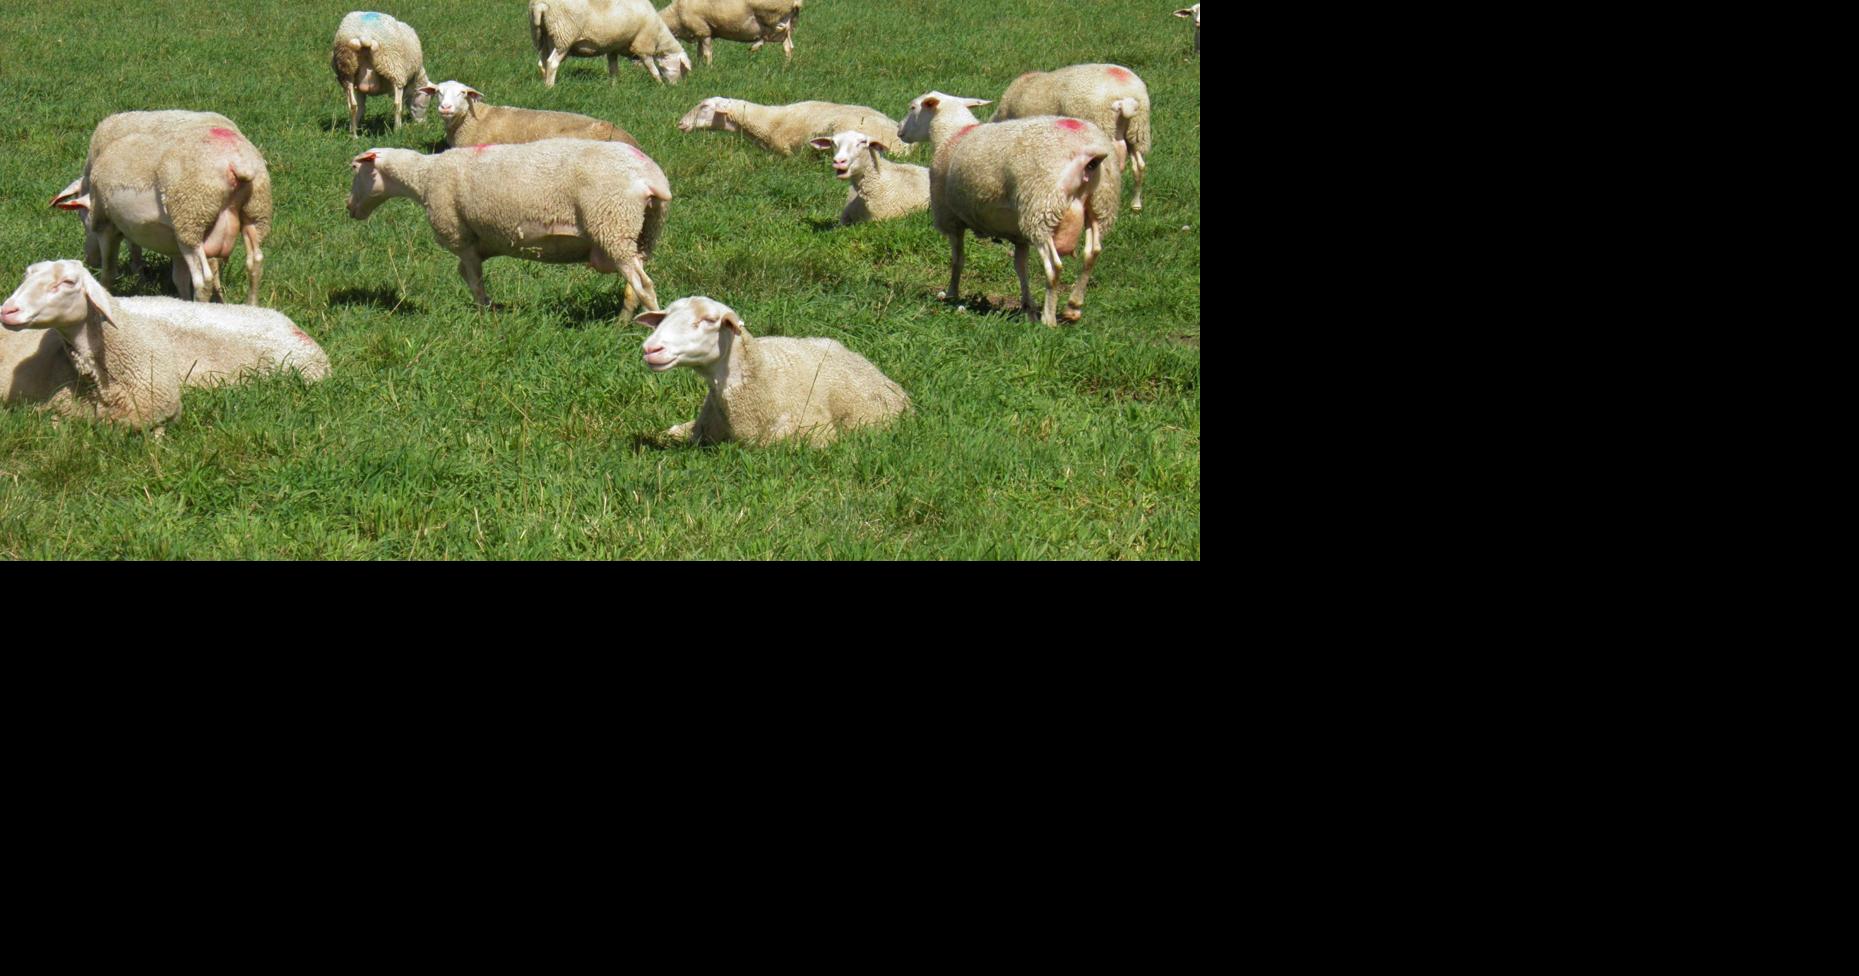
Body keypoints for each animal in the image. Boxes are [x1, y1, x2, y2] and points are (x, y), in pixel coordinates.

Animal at [82, 111, 273, 304]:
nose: (89, 261)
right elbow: (179, 279)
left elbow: (108, 273)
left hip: (191, 218)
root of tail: (237, 161)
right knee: (255, 263)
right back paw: (251, 305)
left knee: (204, 280)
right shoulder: (175, 247)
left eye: (84, 221)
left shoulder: (105, 225)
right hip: (255, 211)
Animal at [347, 139, 671, 321]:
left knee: (645, 286)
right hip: (640, 233)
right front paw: (492, 309)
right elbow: (466, 275)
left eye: (354, 169)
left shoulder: (461, 237)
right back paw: (622, 323)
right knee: (633, 286)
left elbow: (474, 280)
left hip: (612, 222)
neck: (423, 177)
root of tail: (650, 175)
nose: (348, 207)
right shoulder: (478, 243)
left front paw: (485, 317)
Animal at [530, 0, 693, 87]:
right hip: (564, 35)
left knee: (542, 62)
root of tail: (540, 5)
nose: (677, 87)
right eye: (682, 69)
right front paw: (660, 85)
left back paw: (544, 83)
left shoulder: (613, 47)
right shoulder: (643, 45)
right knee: (552, 62)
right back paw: (550, 87)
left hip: (546, 36)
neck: (659, 35)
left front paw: (614, 87)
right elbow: (653, 69)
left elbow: (614, 69)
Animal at [657, 0, 803, 65]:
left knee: (780, 30)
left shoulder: (703, 30)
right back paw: (785, 66)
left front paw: (708, 68)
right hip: (785, 18)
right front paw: (699, 66)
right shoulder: (701, 32)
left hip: (770, 15)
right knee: (788, 46)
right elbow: (699, 52)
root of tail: (796, 2)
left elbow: (707, 52)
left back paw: (756, 46)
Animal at [899, 93, 1121, 328]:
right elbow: (1021, 268)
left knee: (1054, 266)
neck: (951, 135)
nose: (899, 130)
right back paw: (1073, 307)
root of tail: (1089, 152)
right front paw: (1028, 308)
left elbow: (957, 260)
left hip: (1041, 207)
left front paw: (951, 294)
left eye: (913, 107)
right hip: (1100, 204)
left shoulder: (951, 219)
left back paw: (1049, 318)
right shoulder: (1018, 236)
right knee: (1092, 253)